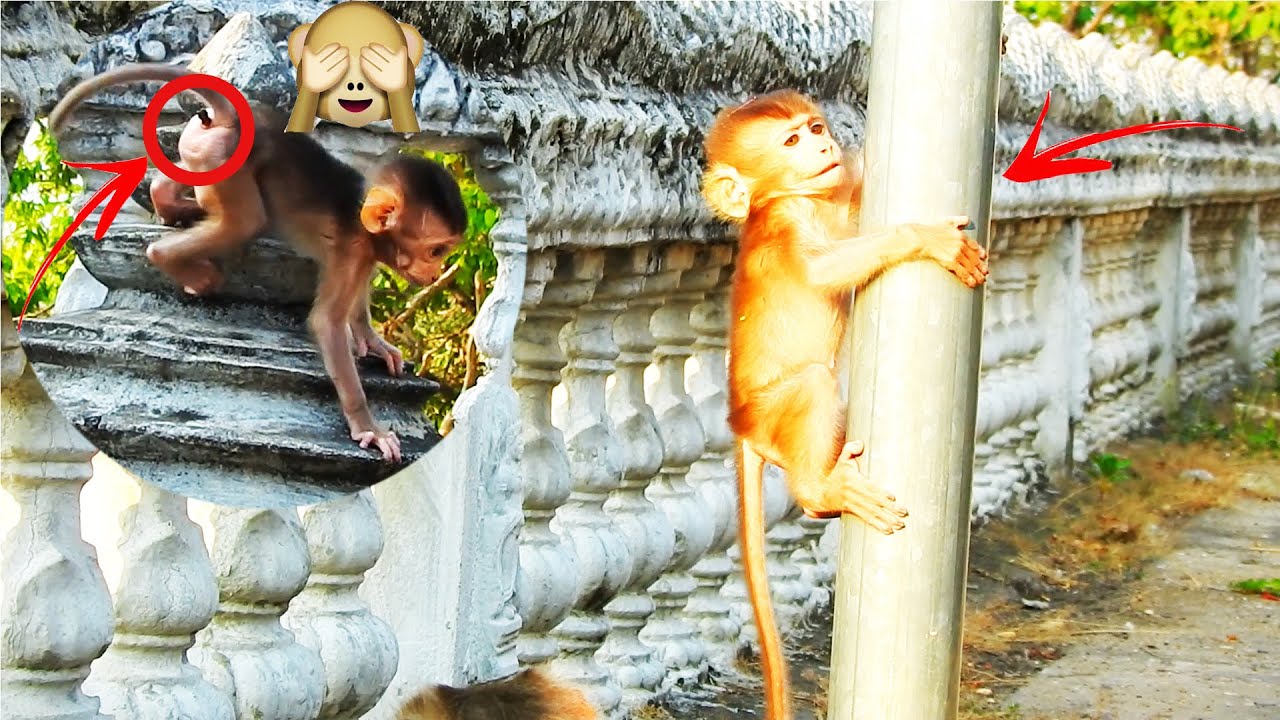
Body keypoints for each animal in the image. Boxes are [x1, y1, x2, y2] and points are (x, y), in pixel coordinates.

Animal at [48, 63, 467, 463]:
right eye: (435, 251)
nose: (432, 272)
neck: (364, 220)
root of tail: (235, 115)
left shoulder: (365, 257)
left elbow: (356, 305)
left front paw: (372, 340)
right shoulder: (352, 252)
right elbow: (327, 324)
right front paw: (368, 428)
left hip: (201, 150)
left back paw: (169, 202)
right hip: (224, 157)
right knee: (245, 222)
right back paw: (176, 259)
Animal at [700, 90, 989, 720]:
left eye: (814, 128)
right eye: (790, 141)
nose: (824, 145)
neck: (800, 199)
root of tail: (741, 424)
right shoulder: (784, 224)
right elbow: (821, 268)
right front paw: (925, 238)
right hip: (775, 410)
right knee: (814, 381)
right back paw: (820, 492)